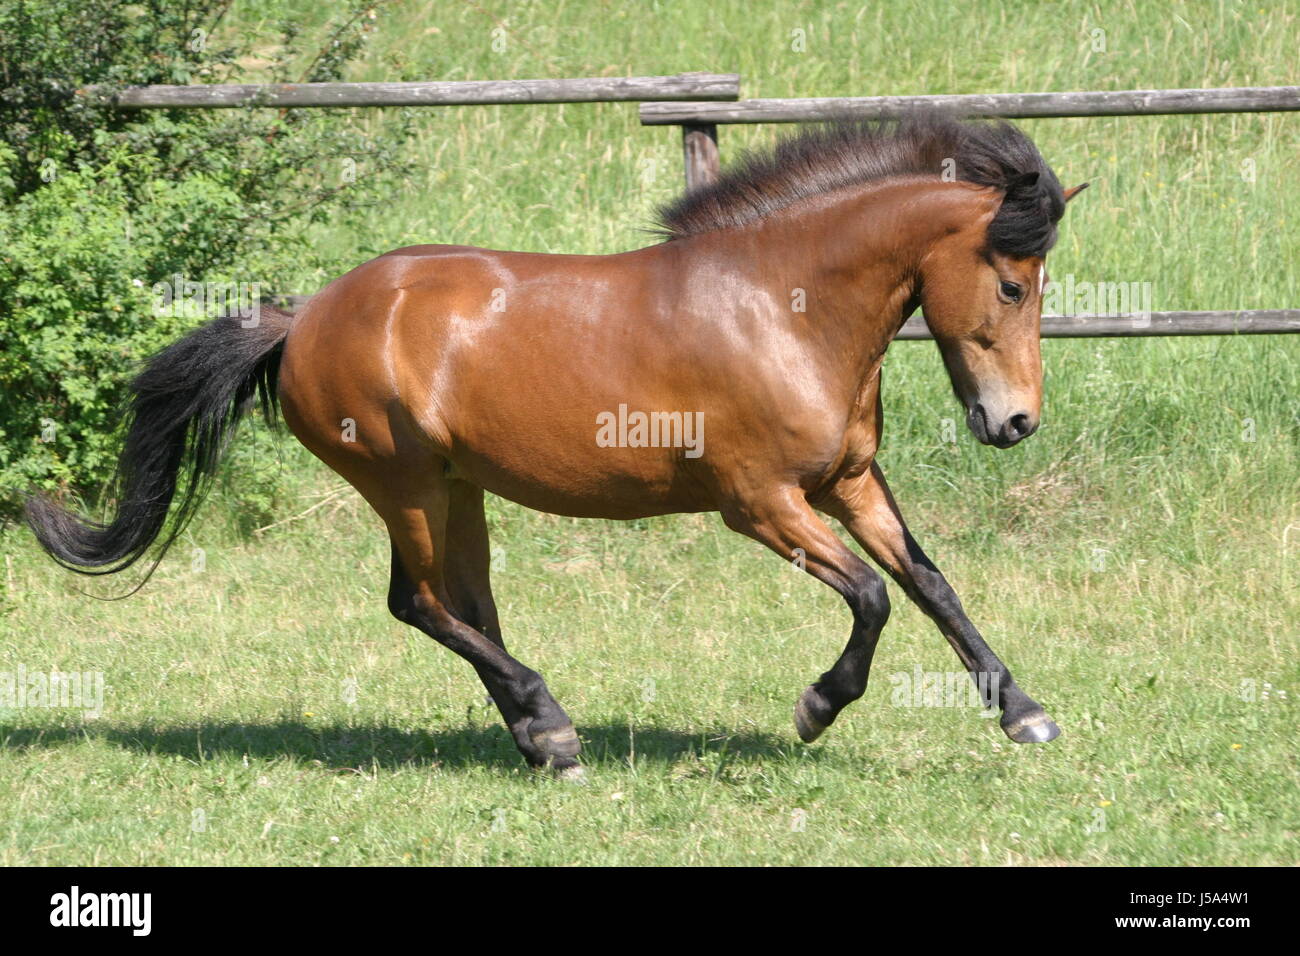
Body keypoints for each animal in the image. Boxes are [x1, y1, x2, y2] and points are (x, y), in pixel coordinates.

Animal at [26, 114, 1086, 778]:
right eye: (1010, 284)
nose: (1014, 424)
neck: (781, 307)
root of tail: (304, 317)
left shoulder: (849, 481)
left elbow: (931, 585)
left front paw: (1026, 714)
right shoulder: (762, 504)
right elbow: (872, 599)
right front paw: (816, 708)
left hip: (458, 491)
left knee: (469, 608)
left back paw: (540, 736)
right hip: (405, 486)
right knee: (418, 604)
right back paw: (554, 728)